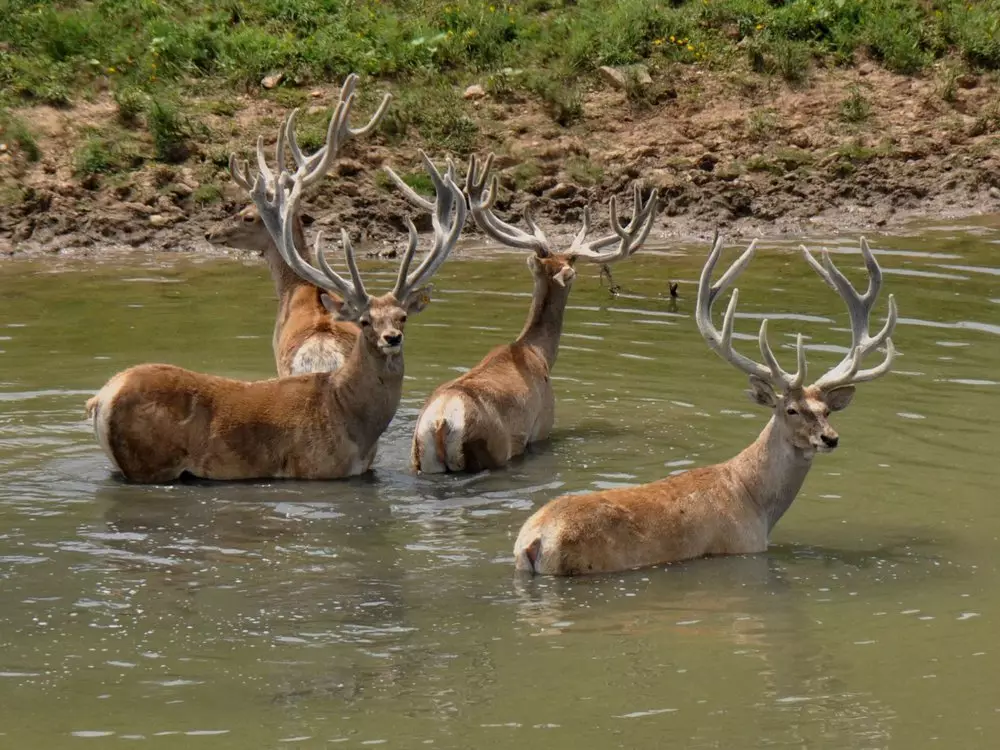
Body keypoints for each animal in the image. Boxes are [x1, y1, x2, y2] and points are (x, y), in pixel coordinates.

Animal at [84, 120, 466, 482]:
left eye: (402, 316)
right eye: (364, 321)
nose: (392, 338)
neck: (348, 416)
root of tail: (101, 398)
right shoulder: (315, 468)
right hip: (148, 462)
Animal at [388, 154, 656, 476]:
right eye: (574, 273)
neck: (539, 354)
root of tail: (440, 422)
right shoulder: (543, 426)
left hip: (420, 460)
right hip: (491, 450)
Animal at [516, 238, 900, 580]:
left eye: (827, 410)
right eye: (790, 410)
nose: (830, 438)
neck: (754, 501)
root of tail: (534, 540)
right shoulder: (743, 547)